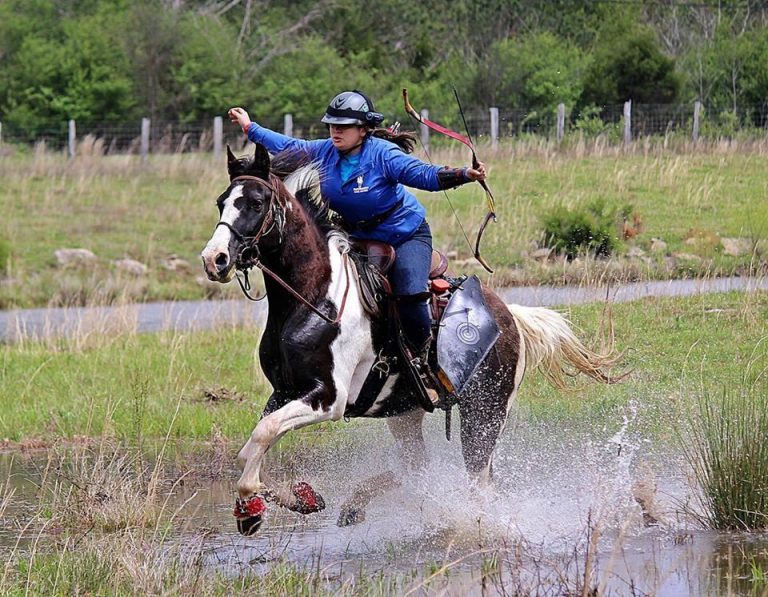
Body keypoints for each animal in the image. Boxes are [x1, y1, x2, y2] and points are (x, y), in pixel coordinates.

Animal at [200, 143, 620, 536]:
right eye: (222, 201)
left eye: (256, 203)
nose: (214, 259)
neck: (314, 296)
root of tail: (510, 318)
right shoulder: (285, 392)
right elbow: (251, 448)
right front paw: (295, 499)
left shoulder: (327, 398)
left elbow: (263, 434)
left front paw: (251, 508)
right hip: (405, 413)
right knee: (418, 469)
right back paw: (357, 504)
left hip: (484, 414)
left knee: (479, 482)